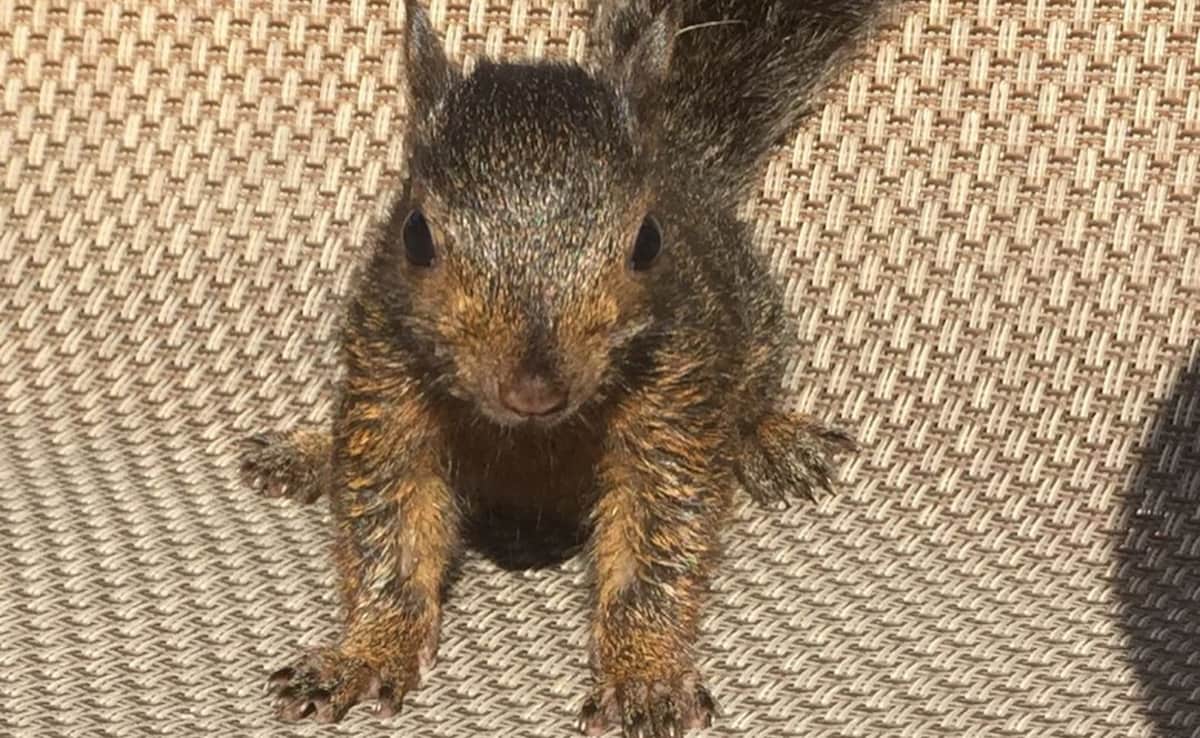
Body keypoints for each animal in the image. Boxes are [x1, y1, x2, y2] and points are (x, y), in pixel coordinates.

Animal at [240, 0, 876, 735]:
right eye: (415, 235)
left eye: (649, 240)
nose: (533, 387)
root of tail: (680, 153)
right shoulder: (385, 382)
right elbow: (388, 530)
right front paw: (364, 652)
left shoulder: (674, 401)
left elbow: (656, 544)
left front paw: (643, 676)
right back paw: (306, 452)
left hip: (756, 322)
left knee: (748, 399)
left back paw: (773, 440)